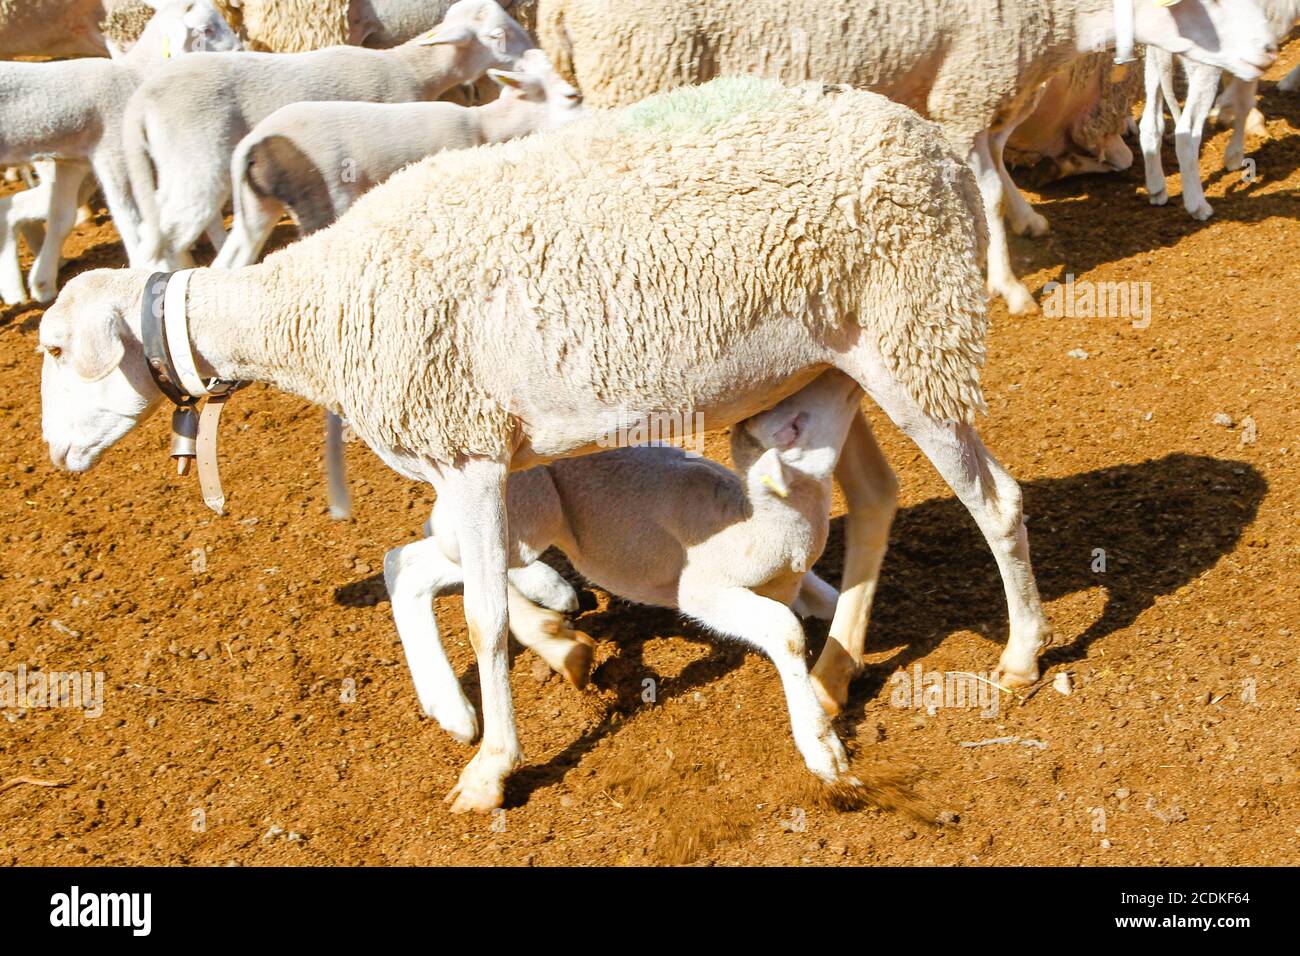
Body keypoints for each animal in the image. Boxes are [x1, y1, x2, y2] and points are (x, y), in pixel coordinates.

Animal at [0, 0, 240, 305]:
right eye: (206, 29)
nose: (240, 50)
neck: (135, 74)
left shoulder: (73, 161)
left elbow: (62, 217)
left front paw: (42, 283)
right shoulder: (113, 153)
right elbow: (129, 218)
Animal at [123, 0, 534, 271]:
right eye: (498, 35)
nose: (534, 54)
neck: (408, 68)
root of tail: (143, 98)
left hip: (178, 165)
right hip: (198, 161)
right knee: (167, 235)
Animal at [386, 370, 862, 782]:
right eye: (794, 425)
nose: (846, 381)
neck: (761, 524)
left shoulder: (796, 582)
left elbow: (838, 604)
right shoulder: (701, 591)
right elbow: (785, 631)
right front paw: (825, 751)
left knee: (432, 544)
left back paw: (549, 610)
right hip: (528, 518)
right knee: (409, 561)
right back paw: (463, 704)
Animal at [535, 0, 1276, 314]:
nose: (1271, 50)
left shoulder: (980, 88)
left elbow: (996, 167)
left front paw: (1025, 219)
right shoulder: (968, 85)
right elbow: (983, 190)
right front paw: (1008, 285)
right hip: (644, 78)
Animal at [1140, 1, 1299, 220]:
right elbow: (1243, 101)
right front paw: (1234, 155)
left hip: (1155, 58)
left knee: (1150, 123)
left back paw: (1157, 189)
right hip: (1203, 64)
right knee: (1186, 133)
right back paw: (1198, 205)